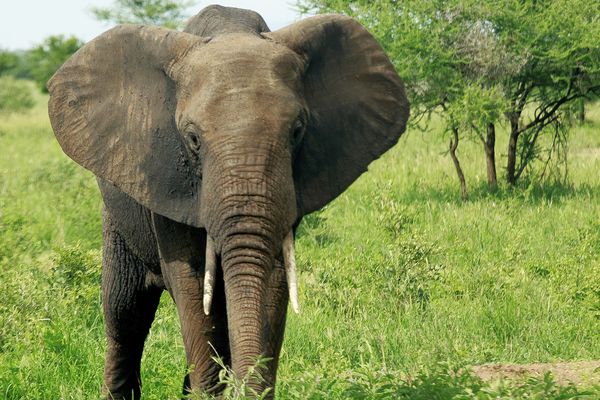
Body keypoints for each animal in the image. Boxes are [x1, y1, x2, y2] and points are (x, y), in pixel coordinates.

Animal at [48, 3, 408, 400]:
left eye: (297, 131)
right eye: (192, 139)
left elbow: (271, 278)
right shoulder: (169, 182)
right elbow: (191, 286)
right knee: (125, 310)